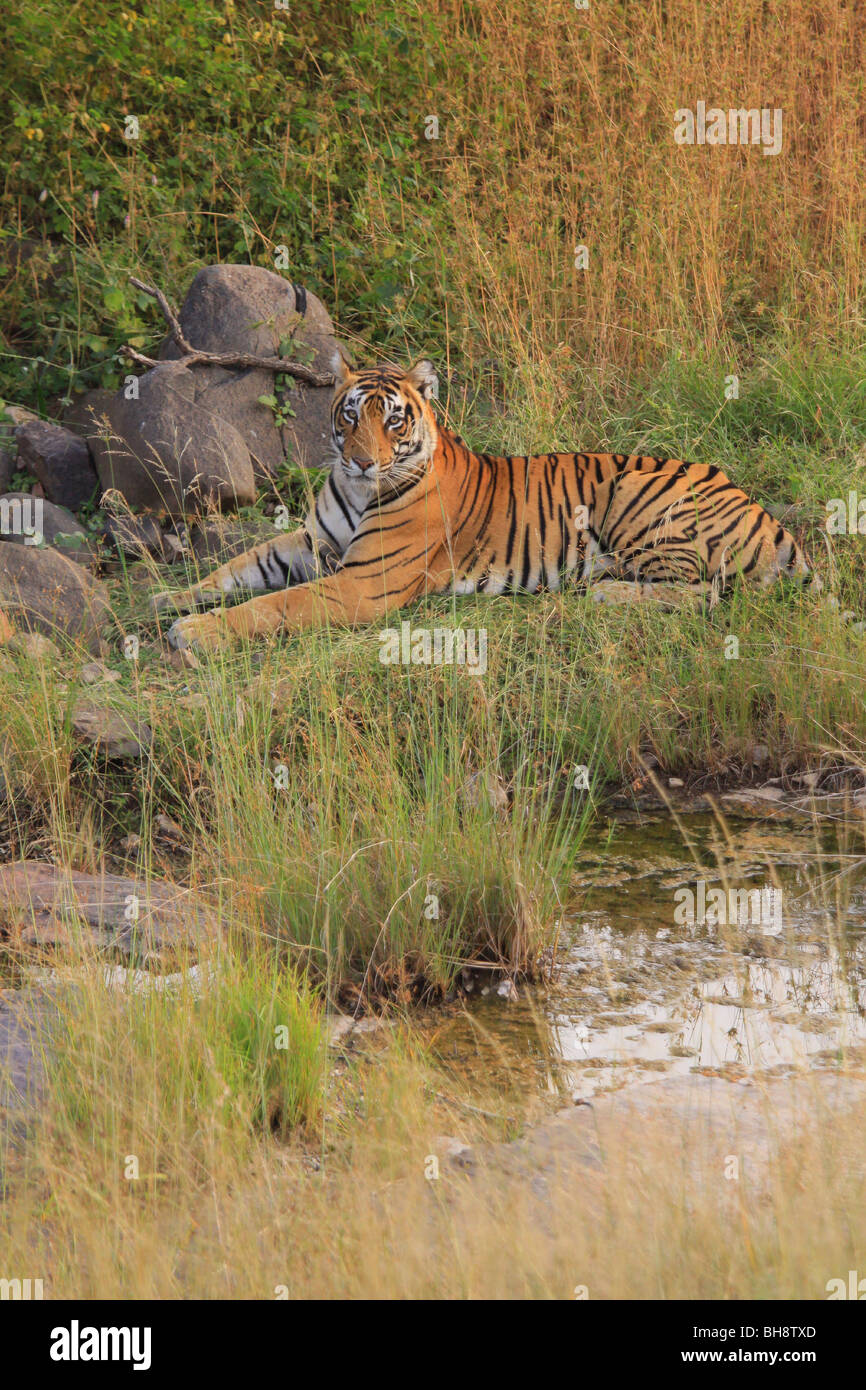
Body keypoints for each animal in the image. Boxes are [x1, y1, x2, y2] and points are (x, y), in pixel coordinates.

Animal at [153, 355, 814, 651]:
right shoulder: (314, 541)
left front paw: (194, 631)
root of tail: (762, 511)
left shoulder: (361, 583)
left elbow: (274, 605)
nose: (363, 461)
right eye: (350, 416)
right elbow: (242, 567)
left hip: (632, 496)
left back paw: (605, 590)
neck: (360, 490)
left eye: (393, 421)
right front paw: (172, 598)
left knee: (704, 594)